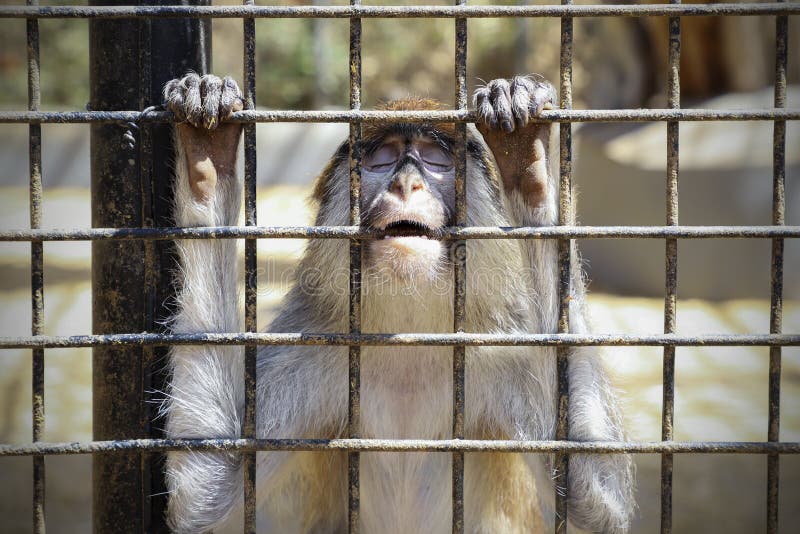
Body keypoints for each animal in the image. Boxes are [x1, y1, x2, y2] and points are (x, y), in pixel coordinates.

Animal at [161, 72, 635, 533]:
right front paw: (207, 155)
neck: (408, 330)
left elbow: (595, 503)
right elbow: (207, 495)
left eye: (436, 160)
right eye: (384, 160)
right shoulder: (307, 347)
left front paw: (527, 157)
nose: (407, 182)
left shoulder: (507, 349)